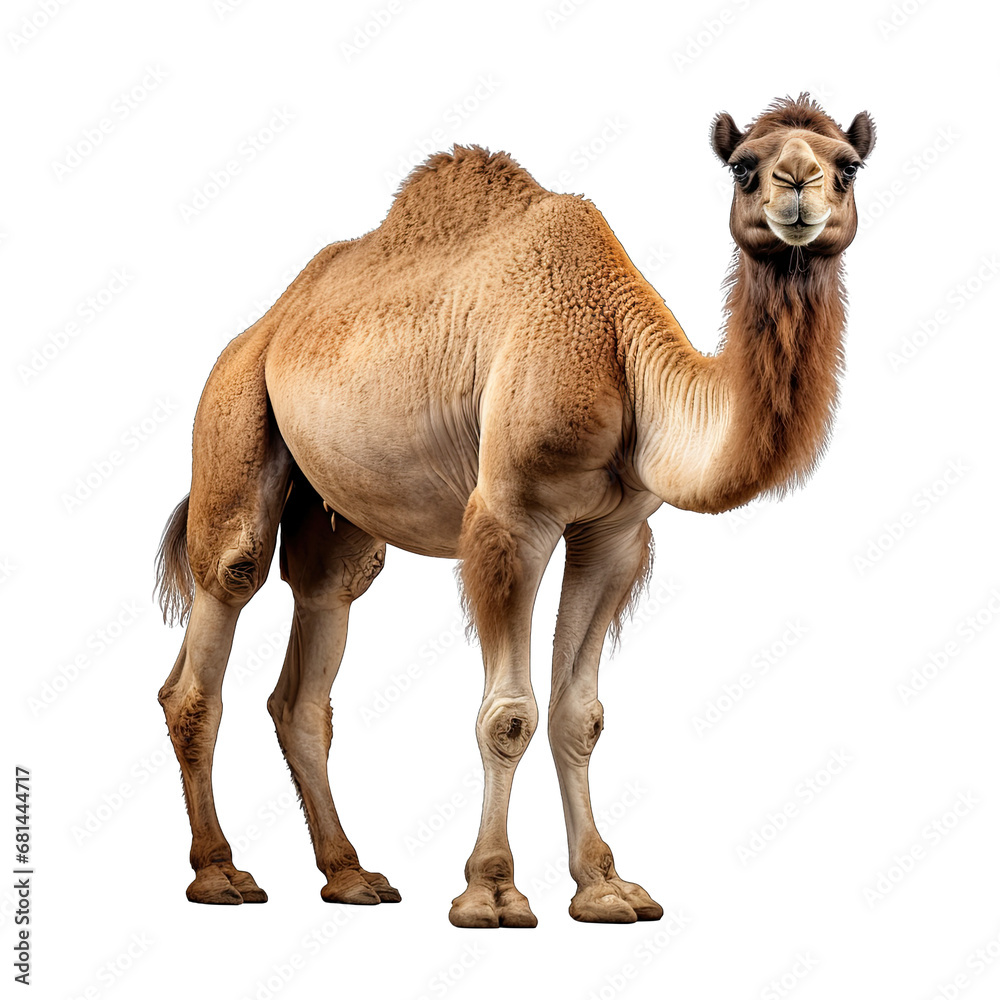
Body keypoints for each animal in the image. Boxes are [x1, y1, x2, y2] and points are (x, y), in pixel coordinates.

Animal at [155, 95, 875, 926]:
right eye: (744, 166)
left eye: (848, 166)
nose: (797, 186)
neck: (620, 351)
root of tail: (264, 326)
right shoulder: (511, 519)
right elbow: (508, 713)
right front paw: (492, 890)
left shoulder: (614, 533)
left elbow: (579, 713)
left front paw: (604, 887)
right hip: (233, 411)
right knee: (221, 603)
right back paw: (220, 874)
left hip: (338, 513)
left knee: (315, 635)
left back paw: (351, 875)